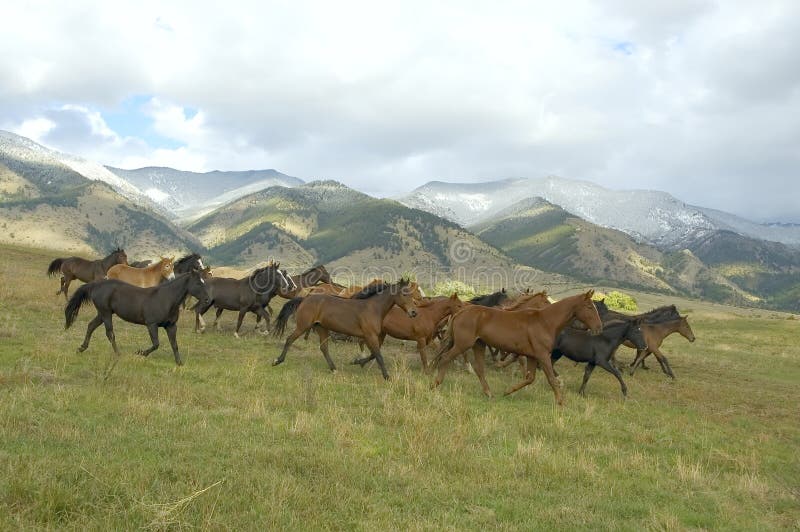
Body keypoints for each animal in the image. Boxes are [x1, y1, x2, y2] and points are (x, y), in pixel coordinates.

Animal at [64, 268, 211, 366]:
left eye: (204, 282)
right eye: (198, 283)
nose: (208, 299)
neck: (166, 299)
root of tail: (96, 284)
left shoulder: (171, 326)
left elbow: (174, 345)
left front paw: (179, 363)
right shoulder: (151, 324)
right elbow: (156, 344)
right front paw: (139, 353)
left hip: (103, 313)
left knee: (91, 326)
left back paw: (81, 348)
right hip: (105, 313)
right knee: (110, 333)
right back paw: (118, 354)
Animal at [271, 279, 419, 379]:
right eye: (404, 294)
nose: (413, 312)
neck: (373, 308)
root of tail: (305, 299)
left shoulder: (369, 337)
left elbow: (373, 354)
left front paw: (357, 362)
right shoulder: (370, 336)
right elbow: (378, 355)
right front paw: (387, 376)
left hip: (322, 328)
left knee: (324, 348)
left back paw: (334, 369)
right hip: (303, 326)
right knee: (289, 339)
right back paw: (277, 360)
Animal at [432, 290, 602, 404]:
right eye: (589, 306)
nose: (599, 328)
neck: (545, 322)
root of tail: (460, 311)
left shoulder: (532, 356)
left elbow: (529, 378)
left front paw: (507, 391)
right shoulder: (542, 355)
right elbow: (551, 379)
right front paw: (561, 402)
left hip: (478, 345)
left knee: (479, 369)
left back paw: (489, 394)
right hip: (463, 344)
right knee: (445, 358)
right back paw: (435, 384)